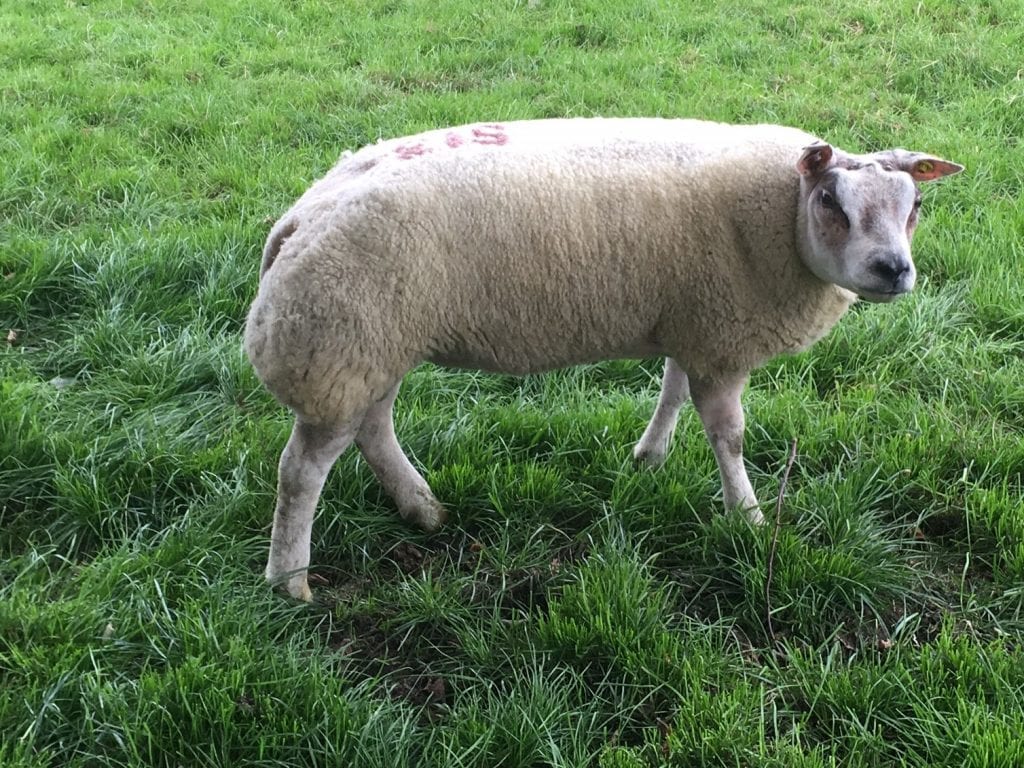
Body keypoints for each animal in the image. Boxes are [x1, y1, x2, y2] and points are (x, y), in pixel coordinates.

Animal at [244, 118, 962, 600]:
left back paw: (422, 508)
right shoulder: (721, 336)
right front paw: (750, 518)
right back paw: (290, 581)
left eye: (916, 206)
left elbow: (672, 389)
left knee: (373, 429)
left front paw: (650, 457)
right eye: (830, 202)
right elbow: (728, 435)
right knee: (302, 471)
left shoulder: (691, 319)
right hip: (337, 347)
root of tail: (299, 215)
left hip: (374, 345)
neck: (779, 218)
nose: (894, 270)